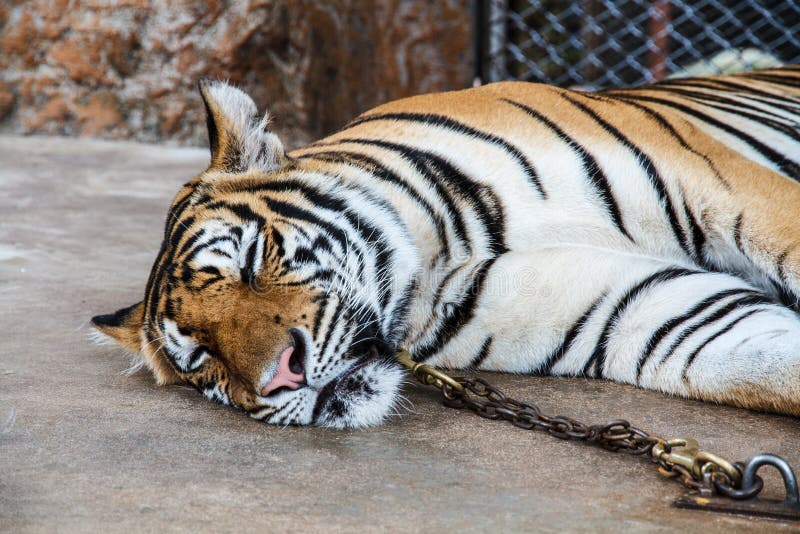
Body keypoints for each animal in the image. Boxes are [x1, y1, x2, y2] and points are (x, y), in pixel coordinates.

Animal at [92, 66, 800, 428]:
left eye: (248, 261)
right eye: (201, 359)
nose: (279, 378)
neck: (437, 264)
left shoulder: (722, 187)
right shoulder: (637, 308)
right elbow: (760, 361)